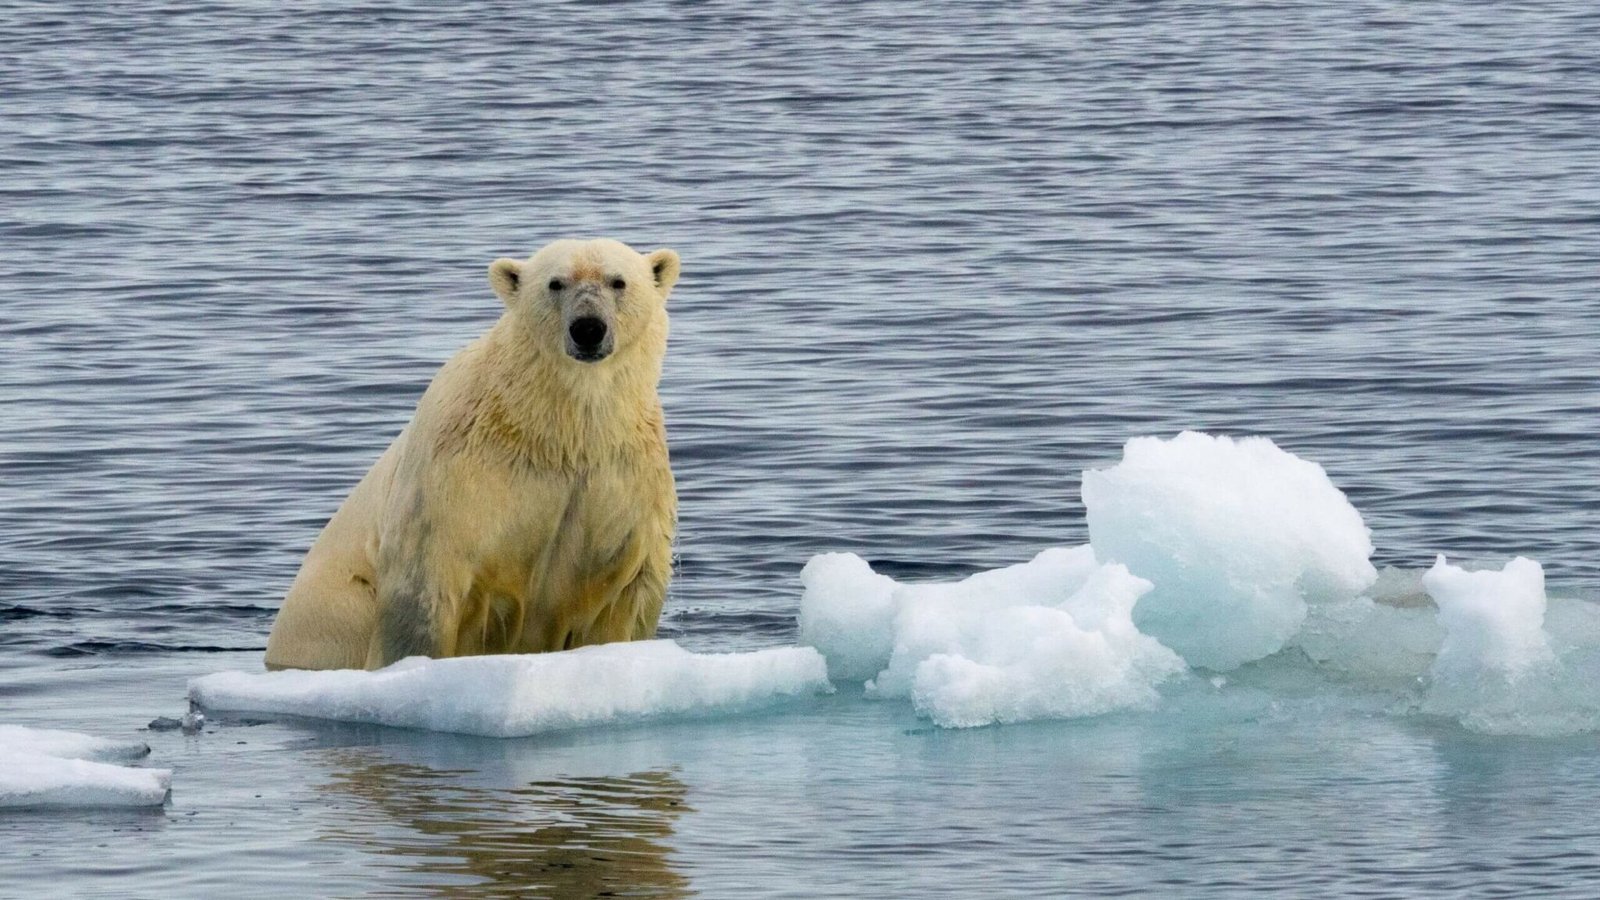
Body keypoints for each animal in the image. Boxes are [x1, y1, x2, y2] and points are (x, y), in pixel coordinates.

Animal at [263, 238, 680, 671]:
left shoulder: (621, 477)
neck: (558, 433)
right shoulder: (458, 477)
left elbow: (625, 591)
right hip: (335, 613)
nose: (587, 328)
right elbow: (425, 585)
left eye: (618, 281)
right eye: (555, 283)